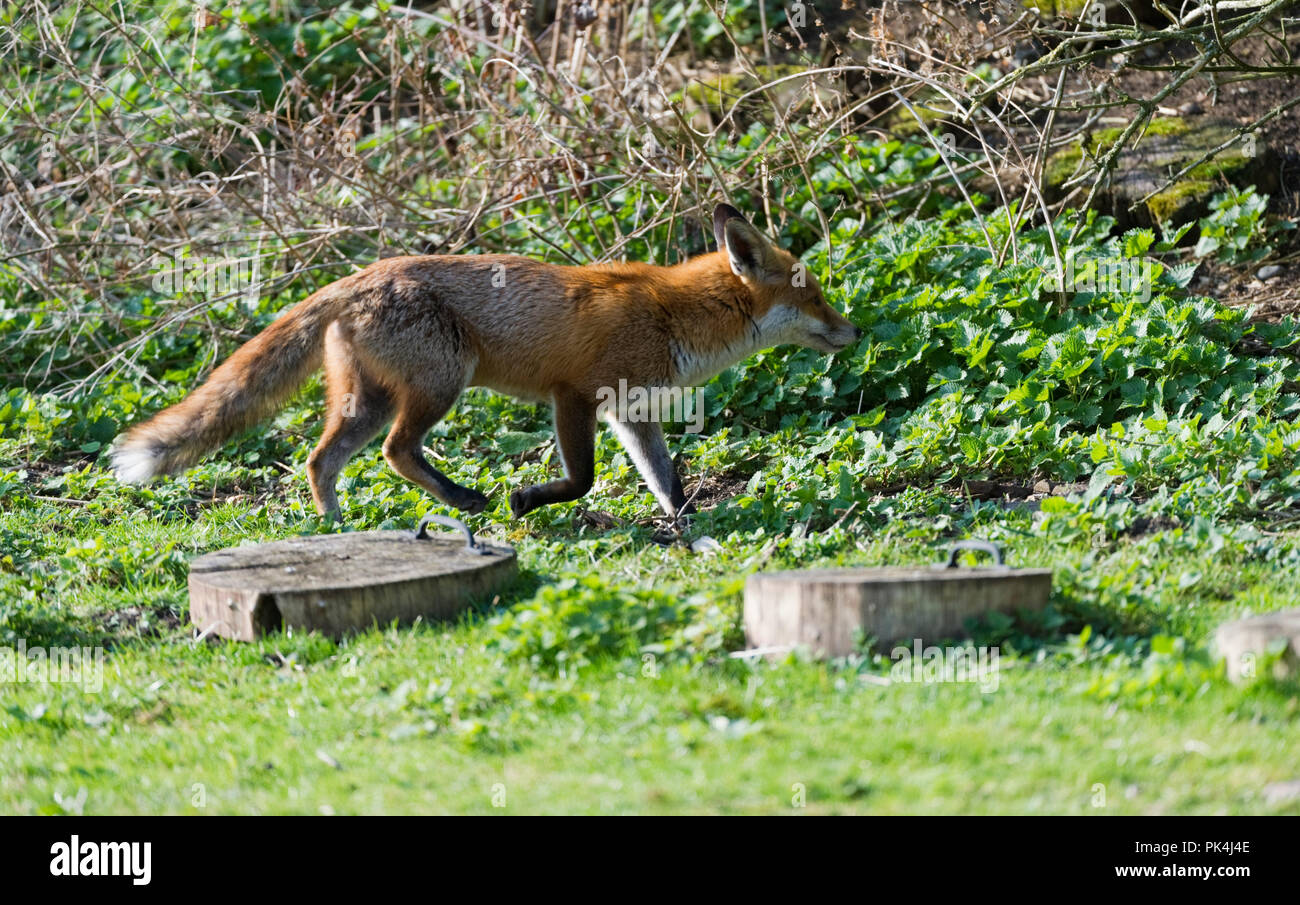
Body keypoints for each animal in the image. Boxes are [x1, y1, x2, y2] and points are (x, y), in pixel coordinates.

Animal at [110, 203, 862, 519]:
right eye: (817, 296)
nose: (854, 331)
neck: (672, 314)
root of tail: (356, 276)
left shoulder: (632, 413)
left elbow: (666, 482)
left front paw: (687, 529)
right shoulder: (575, 395)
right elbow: (583, 480)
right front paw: (527, 499)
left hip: (370, 398)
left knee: (321, 459)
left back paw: (334, 524)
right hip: (444, 381)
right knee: (395, 451)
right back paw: (461, 500)